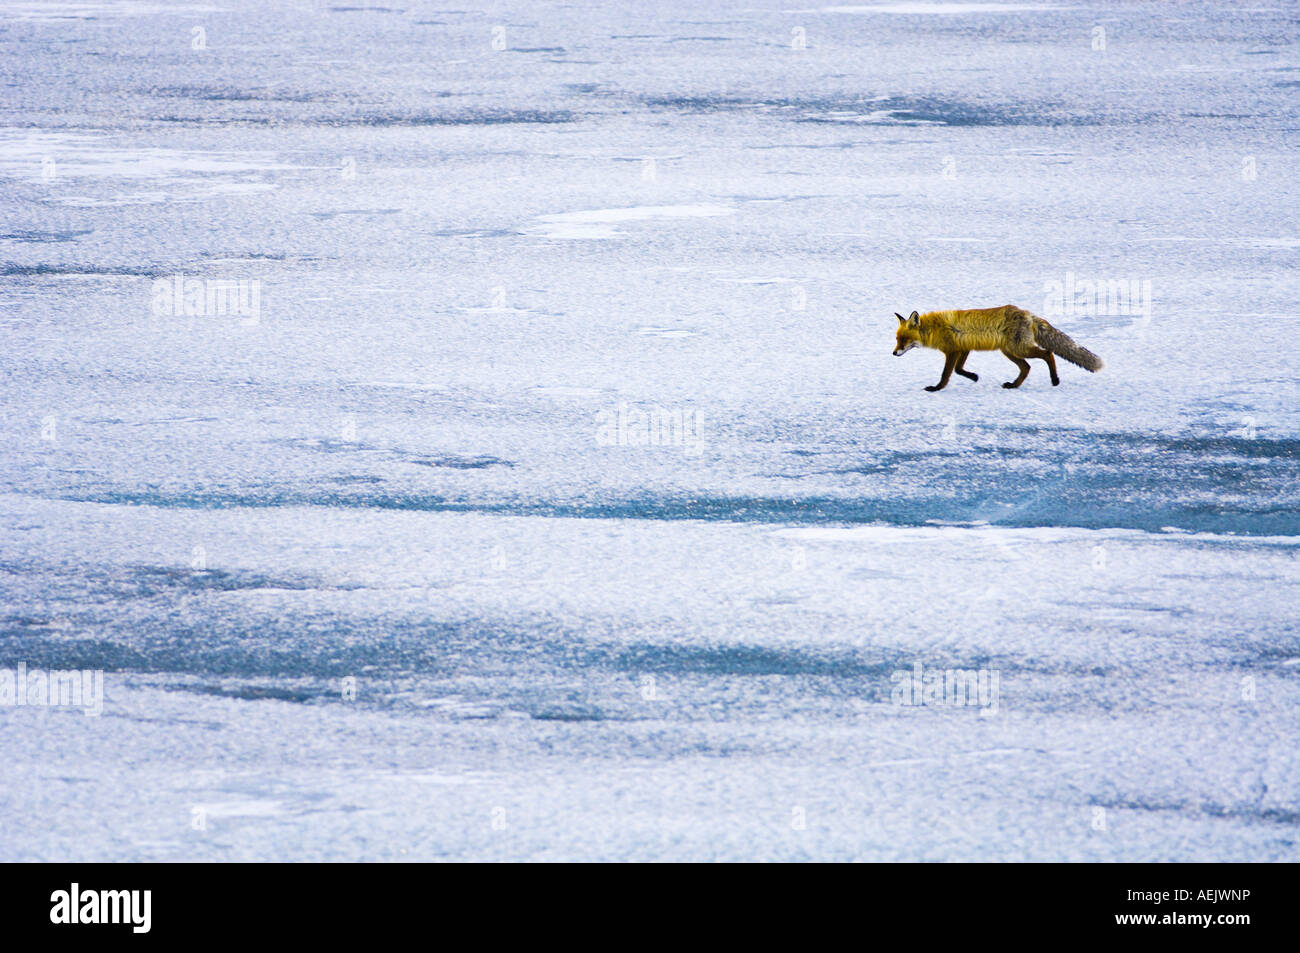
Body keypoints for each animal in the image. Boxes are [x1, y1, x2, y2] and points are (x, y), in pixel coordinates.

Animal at [892, 305, 1103, 391]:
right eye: (897, 339)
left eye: (904, 339)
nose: (893, 353)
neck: (934, 329)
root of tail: (1027, 313)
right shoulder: (964, 349)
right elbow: (959, 370)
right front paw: (974, 377)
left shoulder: (952, 351)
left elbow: (946, 374)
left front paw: (936, 388)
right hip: (1010, 351)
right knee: (1027, 367)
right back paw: (1014, 385)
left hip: (1019, 349)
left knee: (1048, 353)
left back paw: (1055, 379)